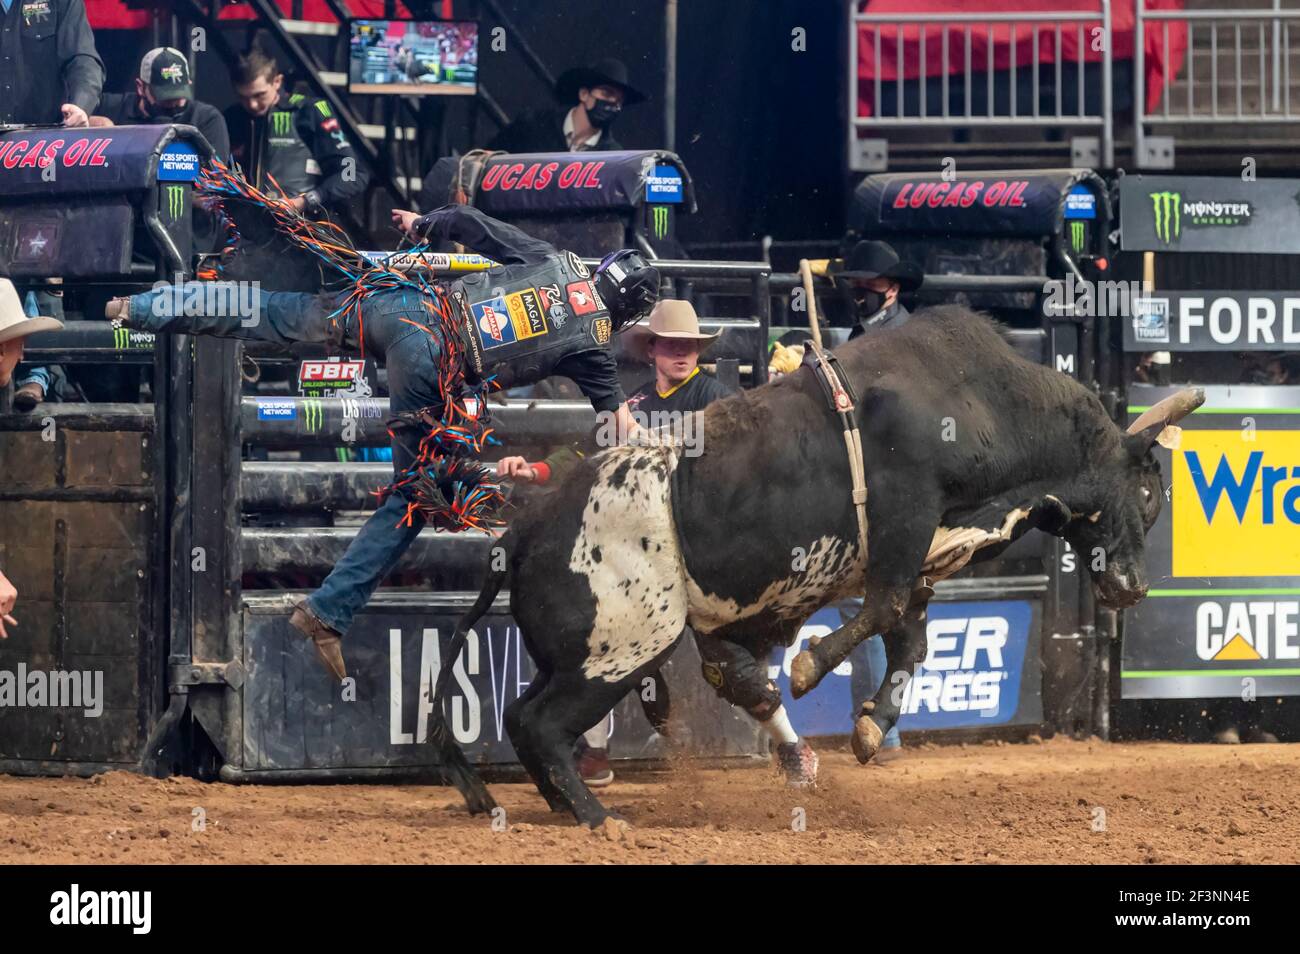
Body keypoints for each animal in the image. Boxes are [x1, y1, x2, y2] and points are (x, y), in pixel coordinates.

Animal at [425, 305, 1203, 827]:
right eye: (1146, 493)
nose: (1133, 589)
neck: (984, 403)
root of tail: (526, 525)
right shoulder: (905, 516)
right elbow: (882, 612)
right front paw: (807, 669)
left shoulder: (923, 556)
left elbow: (909, 642)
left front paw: (870, 727)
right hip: (619, 650)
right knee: (540, 724)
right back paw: (596, 815)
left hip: (573, 653)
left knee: (524, 715)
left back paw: (565, 806)